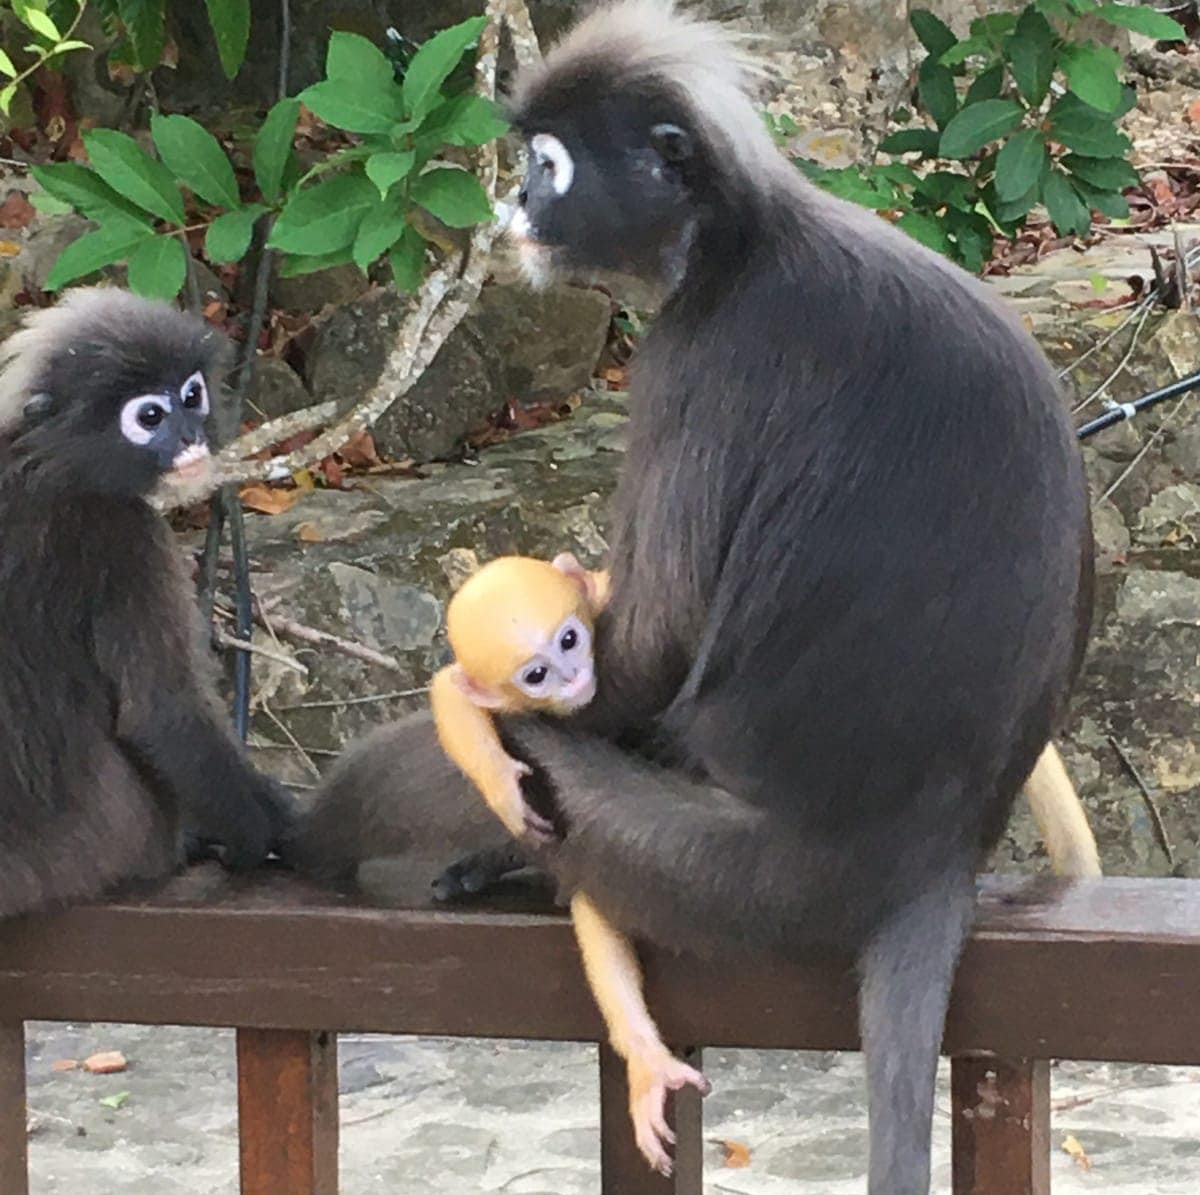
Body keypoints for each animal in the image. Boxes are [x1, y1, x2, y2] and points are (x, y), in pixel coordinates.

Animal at [0, 286, 294, 920]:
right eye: (150, 417)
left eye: (191, 396)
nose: (190, 438)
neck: (48, 458)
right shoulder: (127, 534)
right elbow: (163, 710)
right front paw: (261, 833)